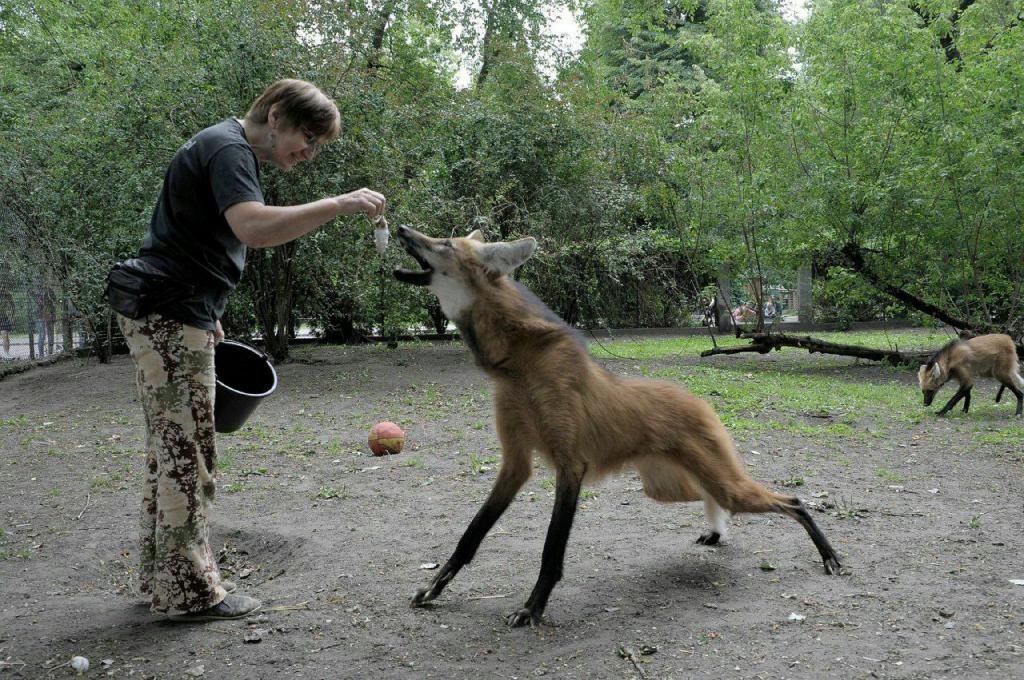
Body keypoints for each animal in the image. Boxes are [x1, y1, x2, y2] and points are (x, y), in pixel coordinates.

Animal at [391, 227, 839, 626]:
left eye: (444, 243)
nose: (401, 229)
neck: (519, 365)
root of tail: (699, 400)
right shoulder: (516, 464)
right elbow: (471, 536)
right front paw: (433, 590)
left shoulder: (570, 466)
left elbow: (551, 550)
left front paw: (532, 609)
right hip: (664, 487)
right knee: (711, 496)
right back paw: (717, 532)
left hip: (718, 483)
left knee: (790, 501)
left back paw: (829, 556)